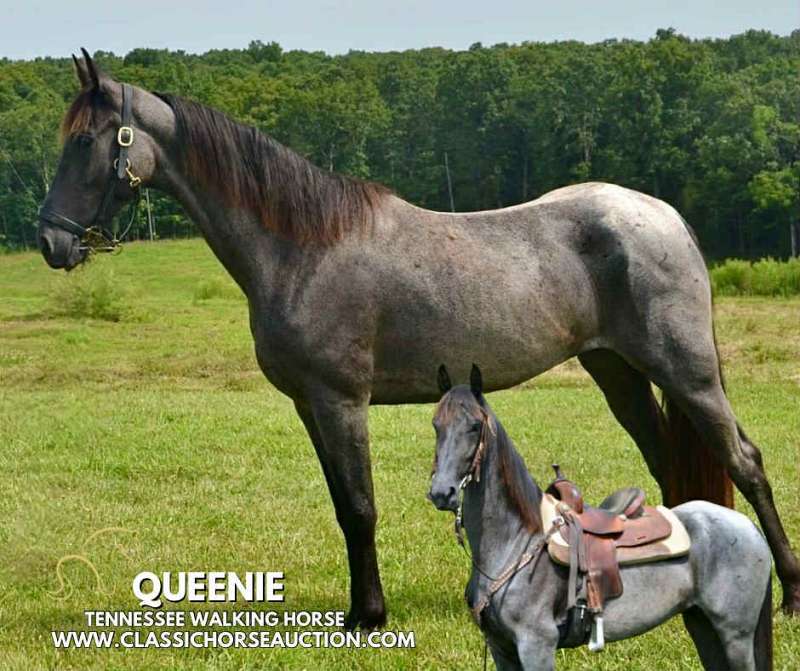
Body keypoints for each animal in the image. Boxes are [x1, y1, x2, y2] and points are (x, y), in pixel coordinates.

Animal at [35, 50, 799, 627]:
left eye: (86, 140)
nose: (50, 240)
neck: (301, 247)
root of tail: (665, 215)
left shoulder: (340, 401)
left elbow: (361, 506)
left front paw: (370, 616)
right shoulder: (310, 406)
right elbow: (344, 507)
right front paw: (358, 609)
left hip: (686, 372)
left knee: (745, 461)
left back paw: (788, 593)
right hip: (618, 372)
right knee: (671, 465)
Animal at [429, 365, 773, 671]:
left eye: (475, 426)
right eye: (436, 425)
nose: (441, 493)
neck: (517, 542)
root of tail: (748, 526)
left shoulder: (536, 645)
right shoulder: (502, 649)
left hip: (735, 635)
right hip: (702, 625)